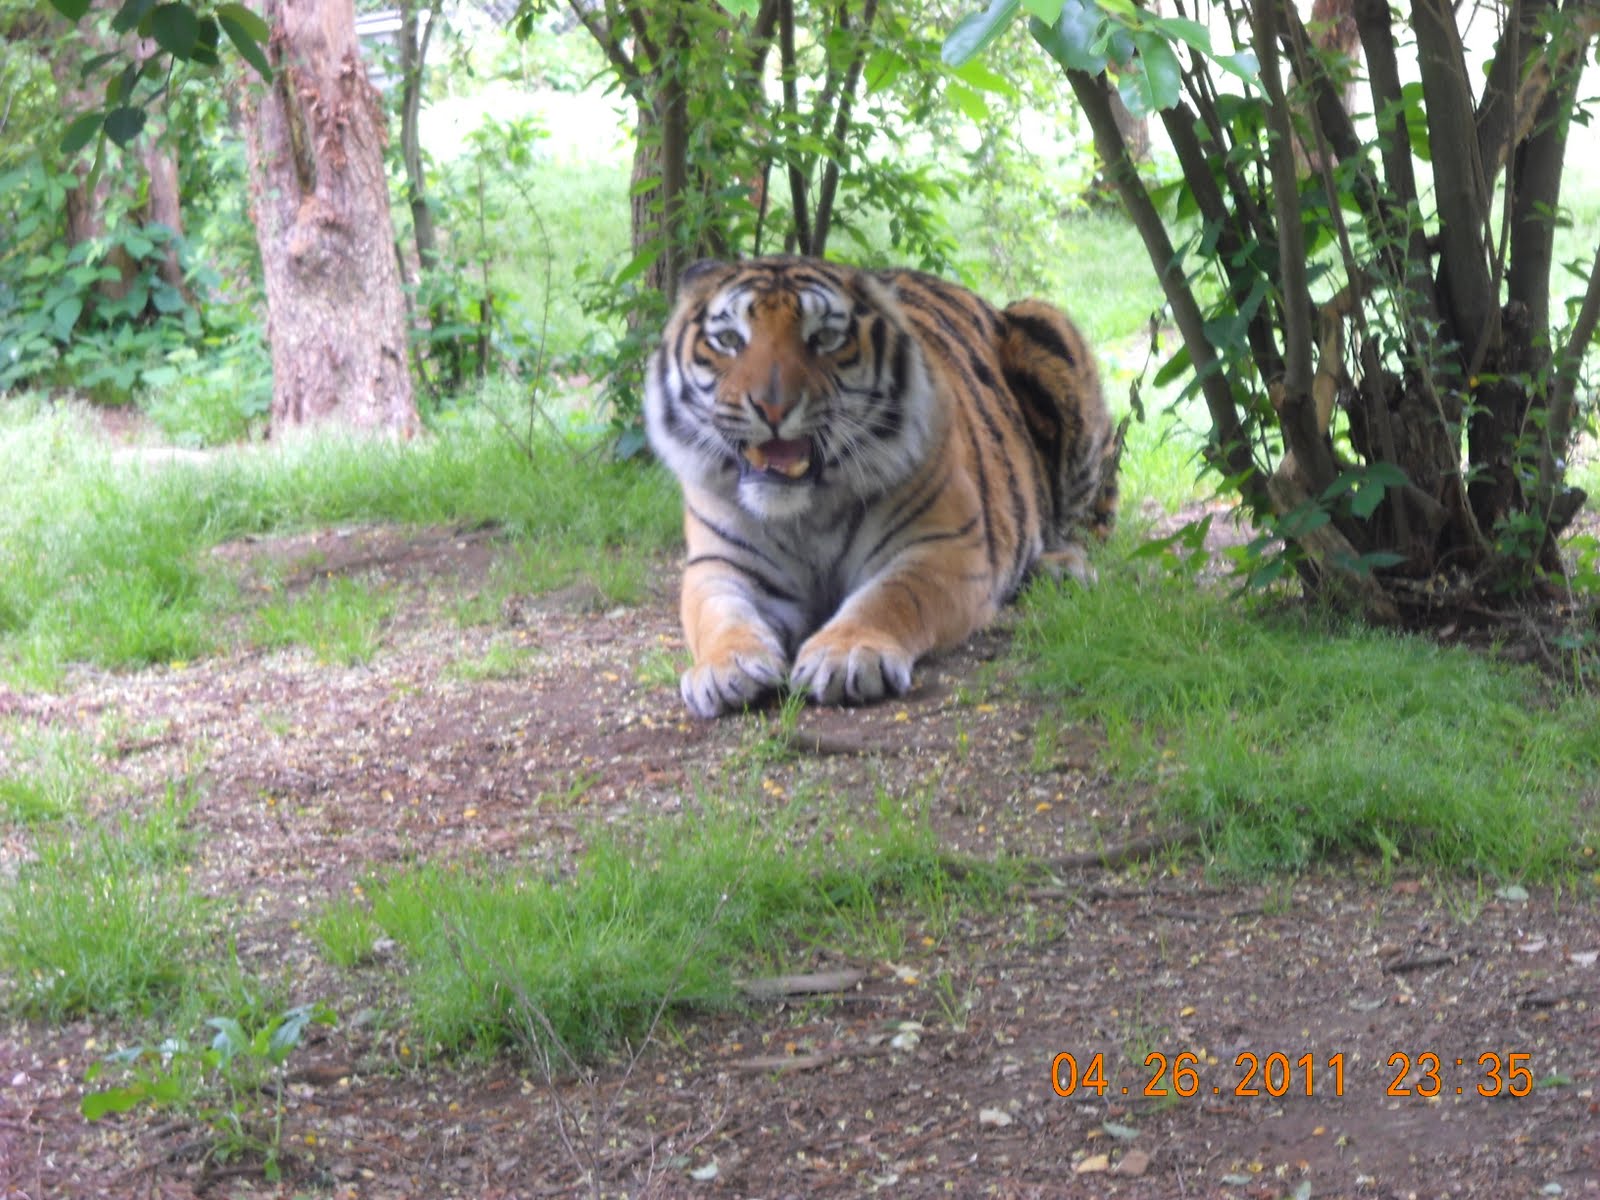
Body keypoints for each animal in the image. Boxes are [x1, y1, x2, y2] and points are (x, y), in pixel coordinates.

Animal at [644, 255, 1122, 720]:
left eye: (825, 337)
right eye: (728, 339)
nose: (773, 407)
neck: (805, 513)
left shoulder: (942, 548)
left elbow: (890, 598)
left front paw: (845, 654)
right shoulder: (719, 563)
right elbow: (720, 616)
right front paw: (725, 669)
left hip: (1048, 331)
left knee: (1090, 524)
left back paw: (1063, 566)